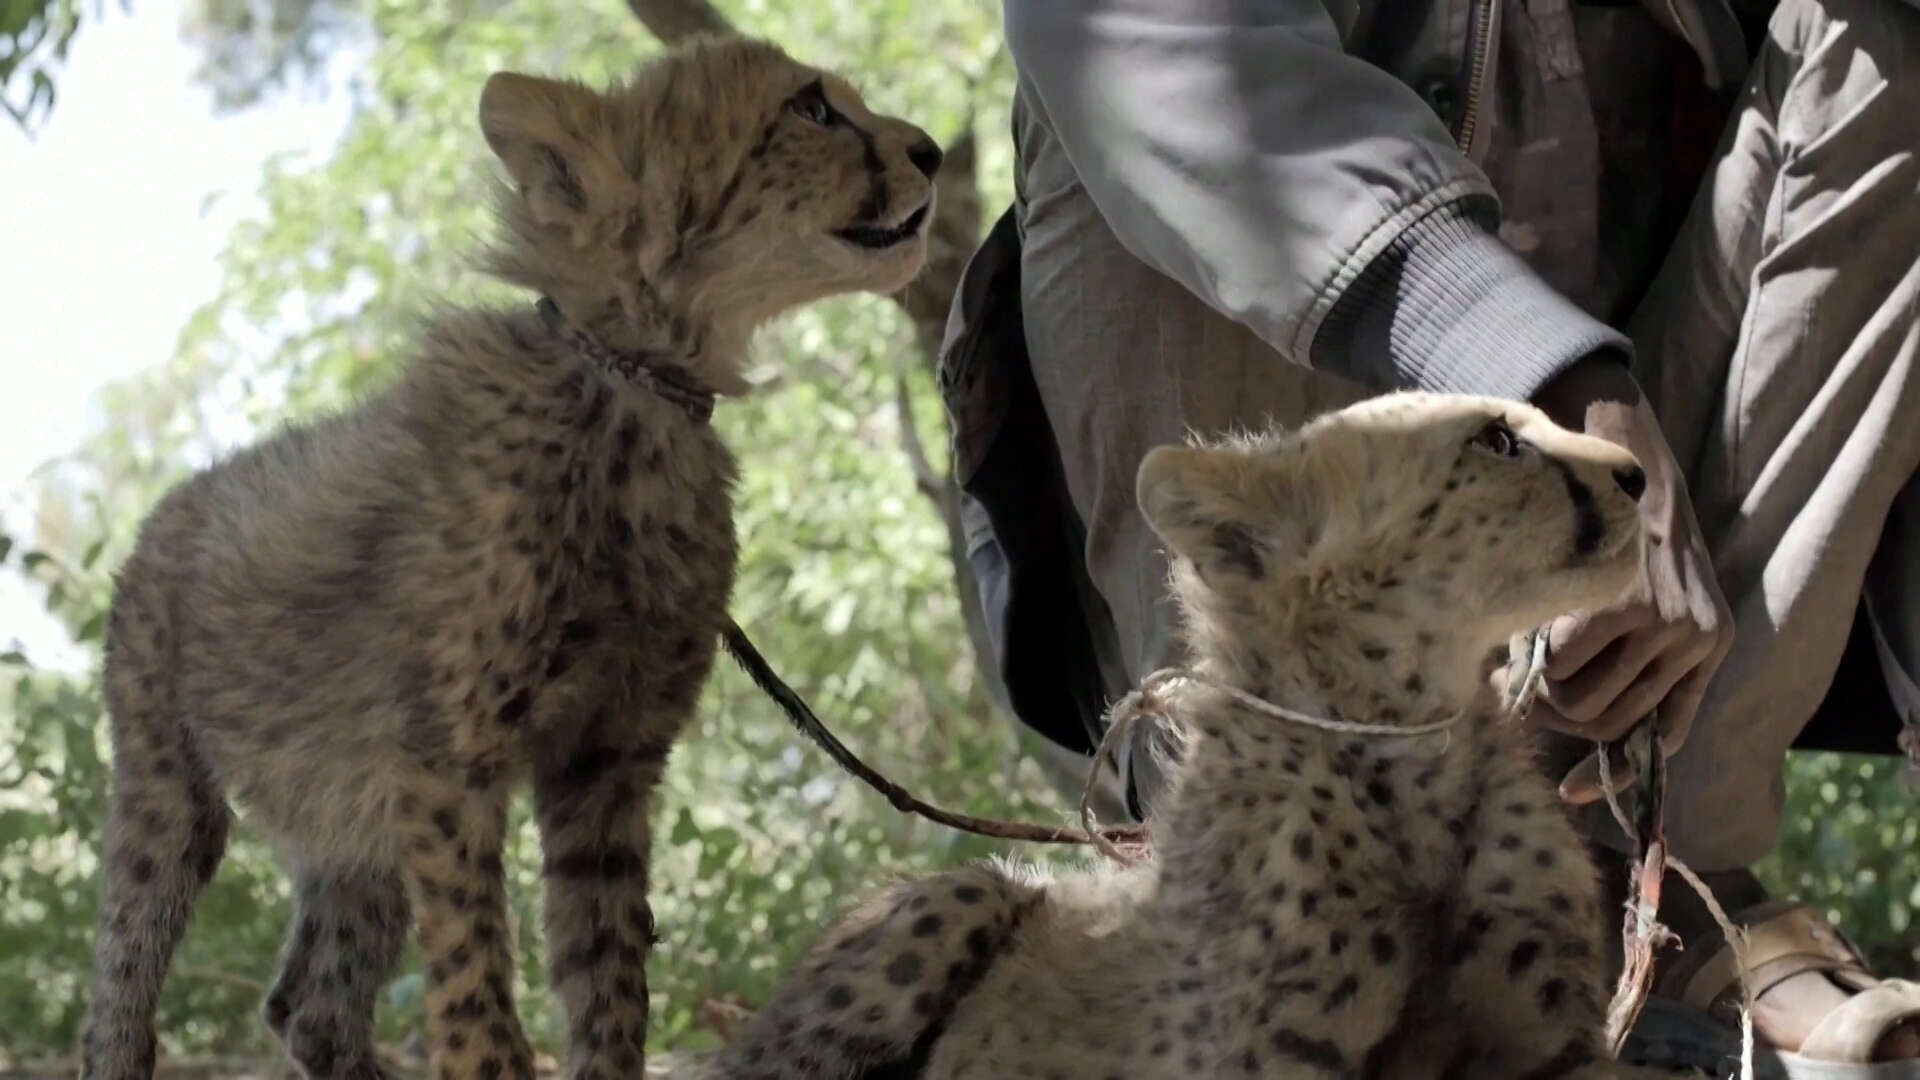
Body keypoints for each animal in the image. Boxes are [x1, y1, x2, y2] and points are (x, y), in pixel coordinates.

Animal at [76, 33, 940, 1080]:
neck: (634, 383)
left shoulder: (605, 764)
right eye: (811, 109)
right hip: (173, 792)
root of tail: (167, 506)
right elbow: (478, 996)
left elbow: (607, 978)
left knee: (310, 1004)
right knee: (120, 988)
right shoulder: (451, 760)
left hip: (349, 803)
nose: (934, 149)